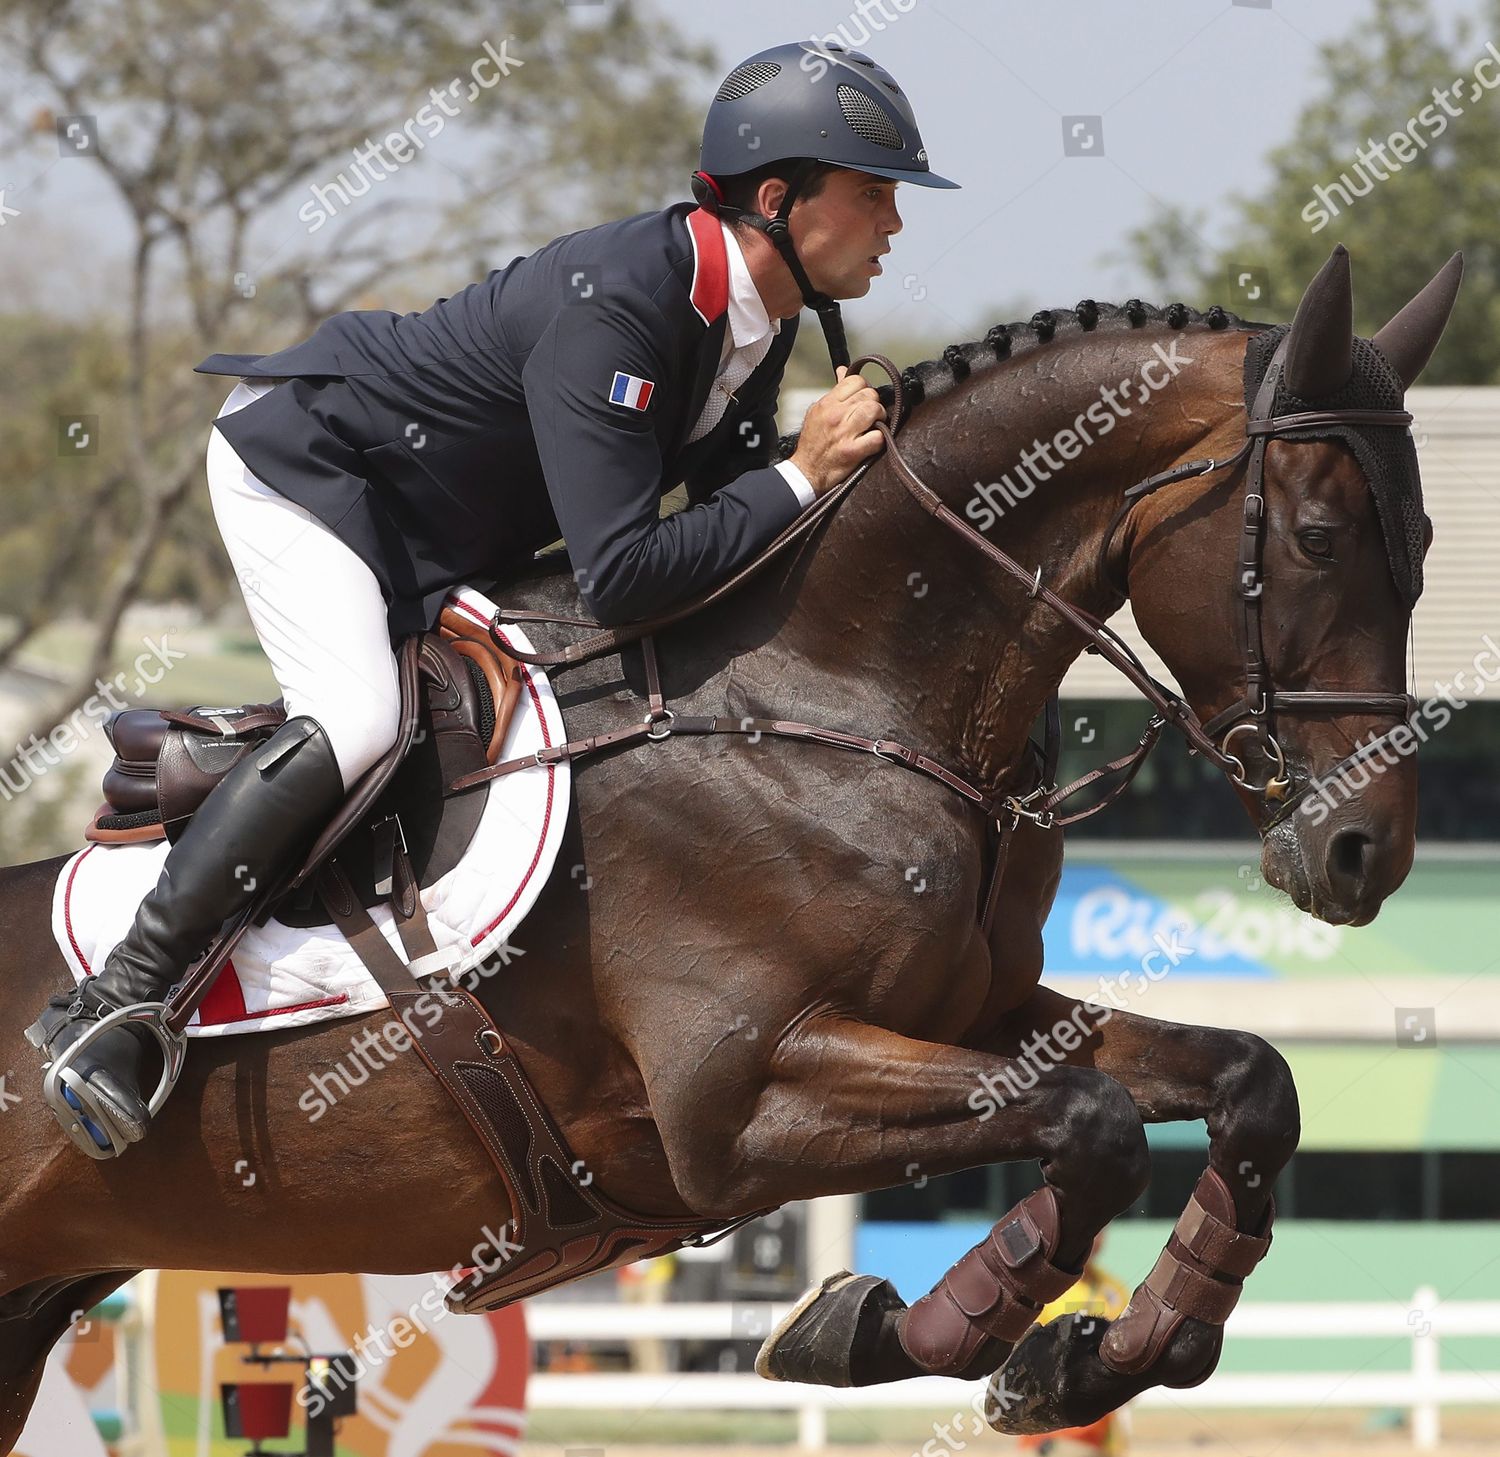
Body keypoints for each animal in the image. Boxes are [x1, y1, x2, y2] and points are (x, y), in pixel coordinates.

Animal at [0, 242, 1461, 1451]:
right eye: (1319, 537)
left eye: (1426, 545)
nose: (1363, 853)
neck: (829, 696)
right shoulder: (740, 1100)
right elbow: (1090, 1125)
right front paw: (888, 1330)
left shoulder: (977, 1014)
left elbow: (1246, 1081)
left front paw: (1100, 1356)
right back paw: (104, 1047)